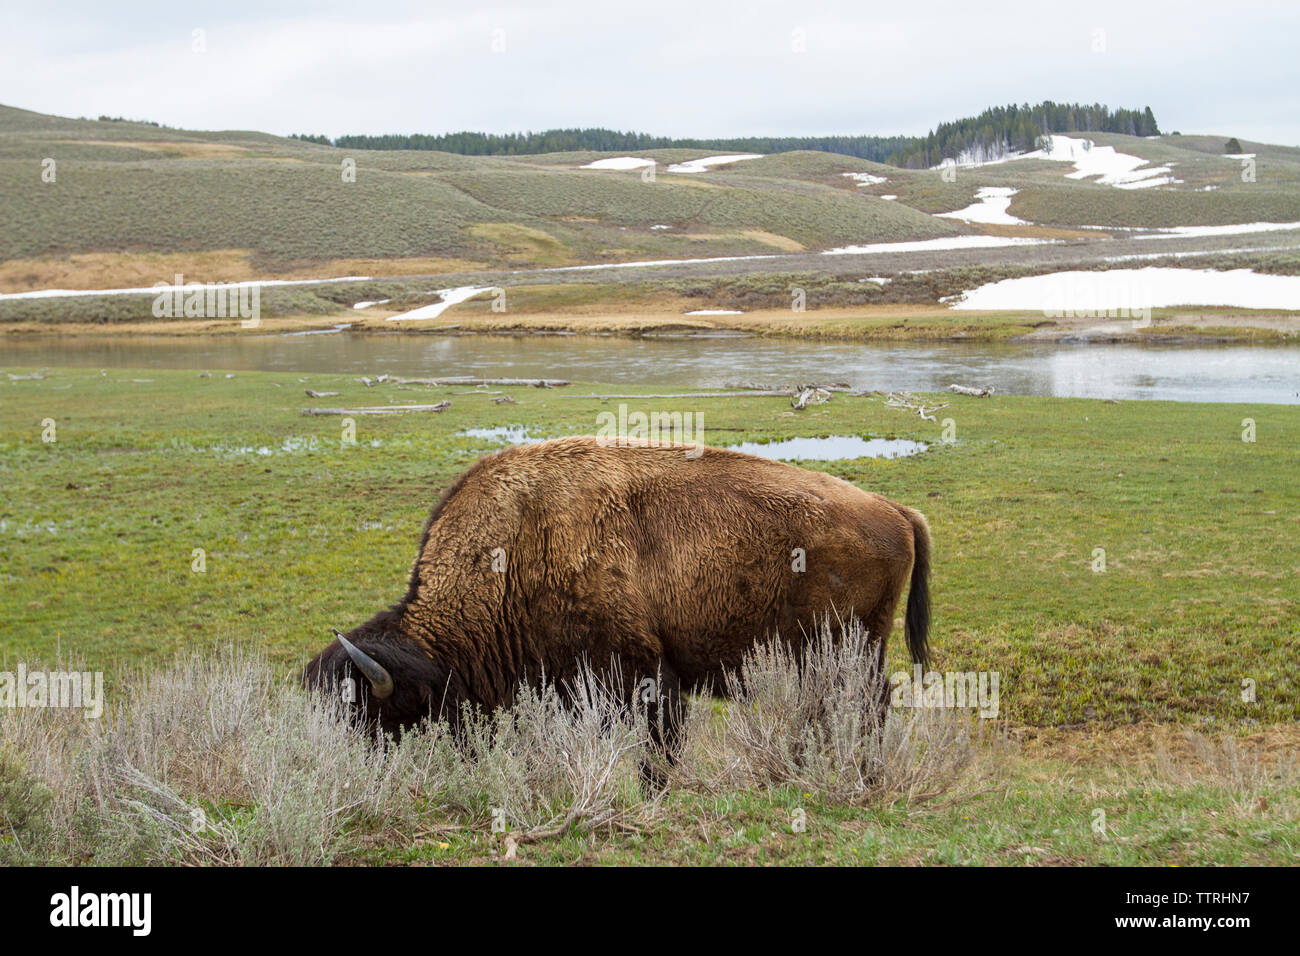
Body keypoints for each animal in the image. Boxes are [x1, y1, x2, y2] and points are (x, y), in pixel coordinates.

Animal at [304, 435, 931, 767]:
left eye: (373, 721)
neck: (515, 555)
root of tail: (896, 510)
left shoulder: (643, 672)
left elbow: (660, 740)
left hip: (850, 645)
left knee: (866, 702)